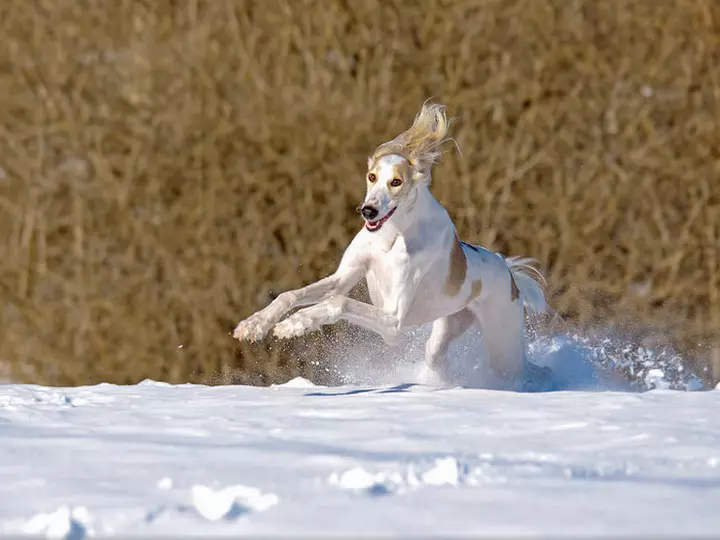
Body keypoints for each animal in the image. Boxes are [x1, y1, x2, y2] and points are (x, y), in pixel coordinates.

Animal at [233, 101, 548, 388]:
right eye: (371, 176)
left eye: (396, 182)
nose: (368, 211)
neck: (393, 235)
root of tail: (507, 270)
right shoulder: (344, 277)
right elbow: (292, 295)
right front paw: (254, 325)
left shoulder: (393, 321)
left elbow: (338, 301)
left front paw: (294, 324)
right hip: (450, 325)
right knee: (435, 357)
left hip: (503, 341)